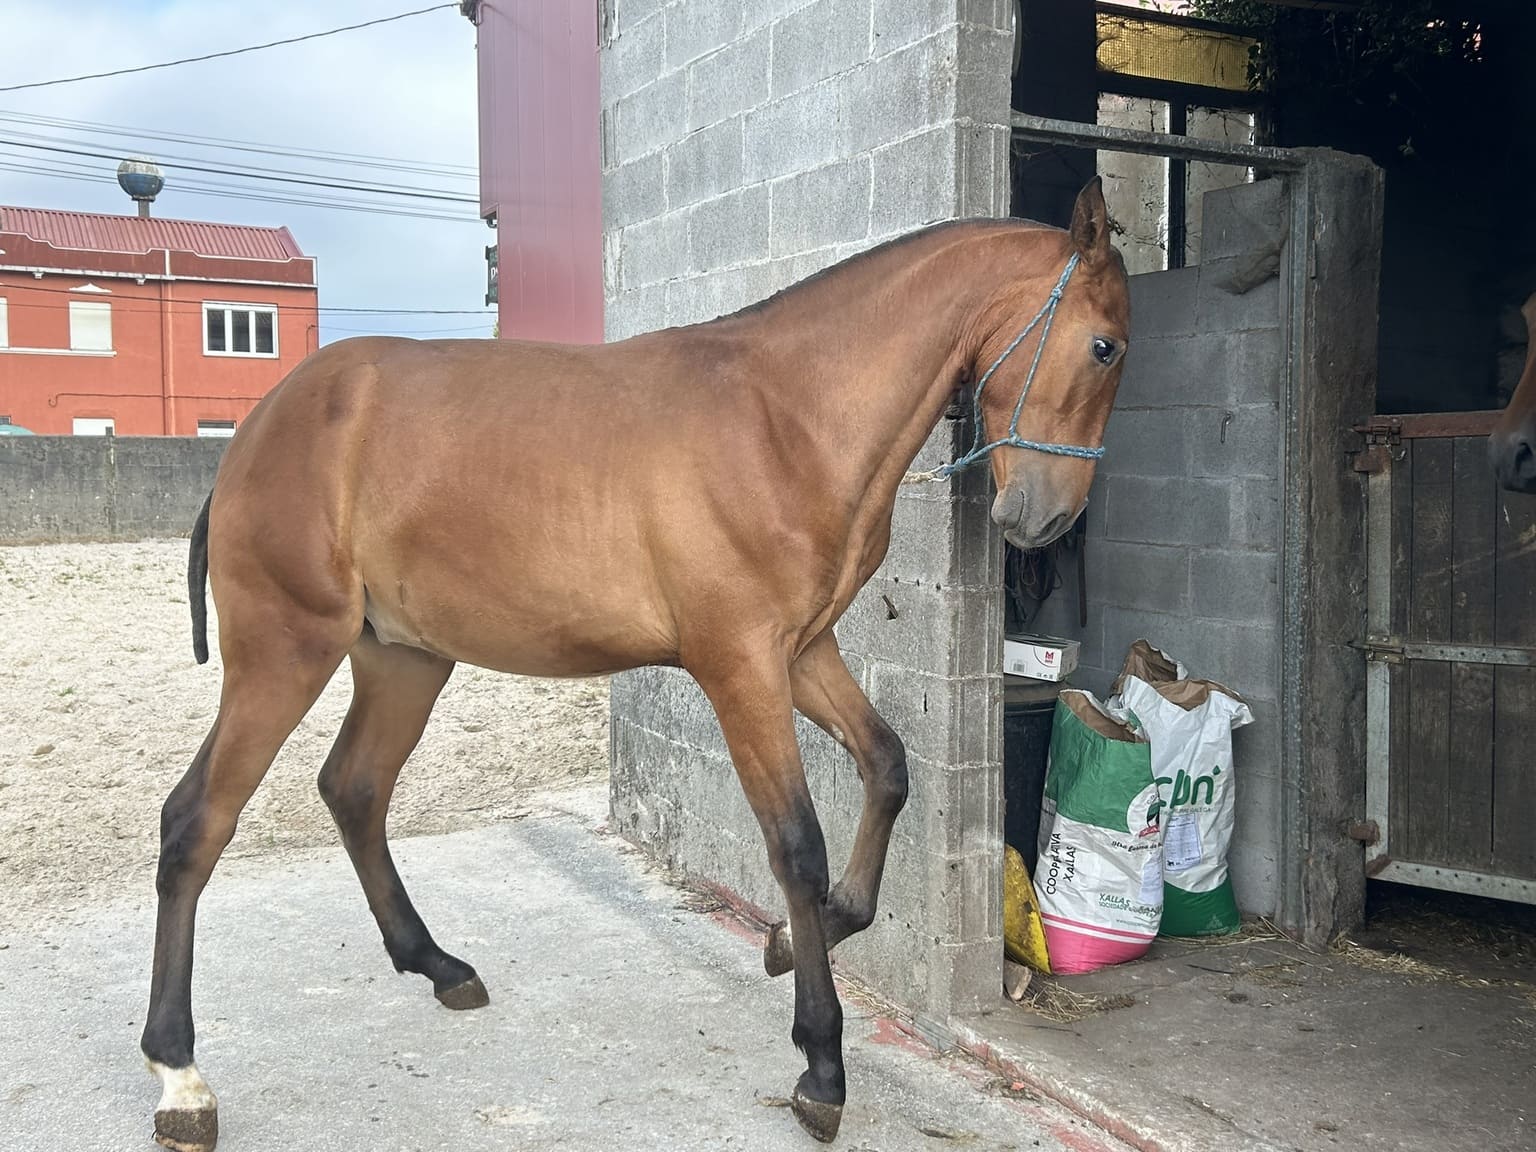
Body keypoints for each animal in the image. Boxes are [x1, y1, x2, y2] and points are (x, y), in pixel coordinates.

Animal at [140, 177, 1129, 1150]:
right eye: (1105, 345)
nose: (1043, 521)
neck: (784, 416)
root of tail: (256, 434)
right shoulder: (739, 666)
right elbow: (795, 845)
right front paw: (820, 1064)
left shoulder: (802, 652)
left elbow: (886, 766)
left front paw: (794, 940)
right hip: (284, 653)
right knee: (196, 821)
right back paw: (179, 1075)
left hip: (404, 659)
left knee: (354, 789)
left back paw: (436, 964)